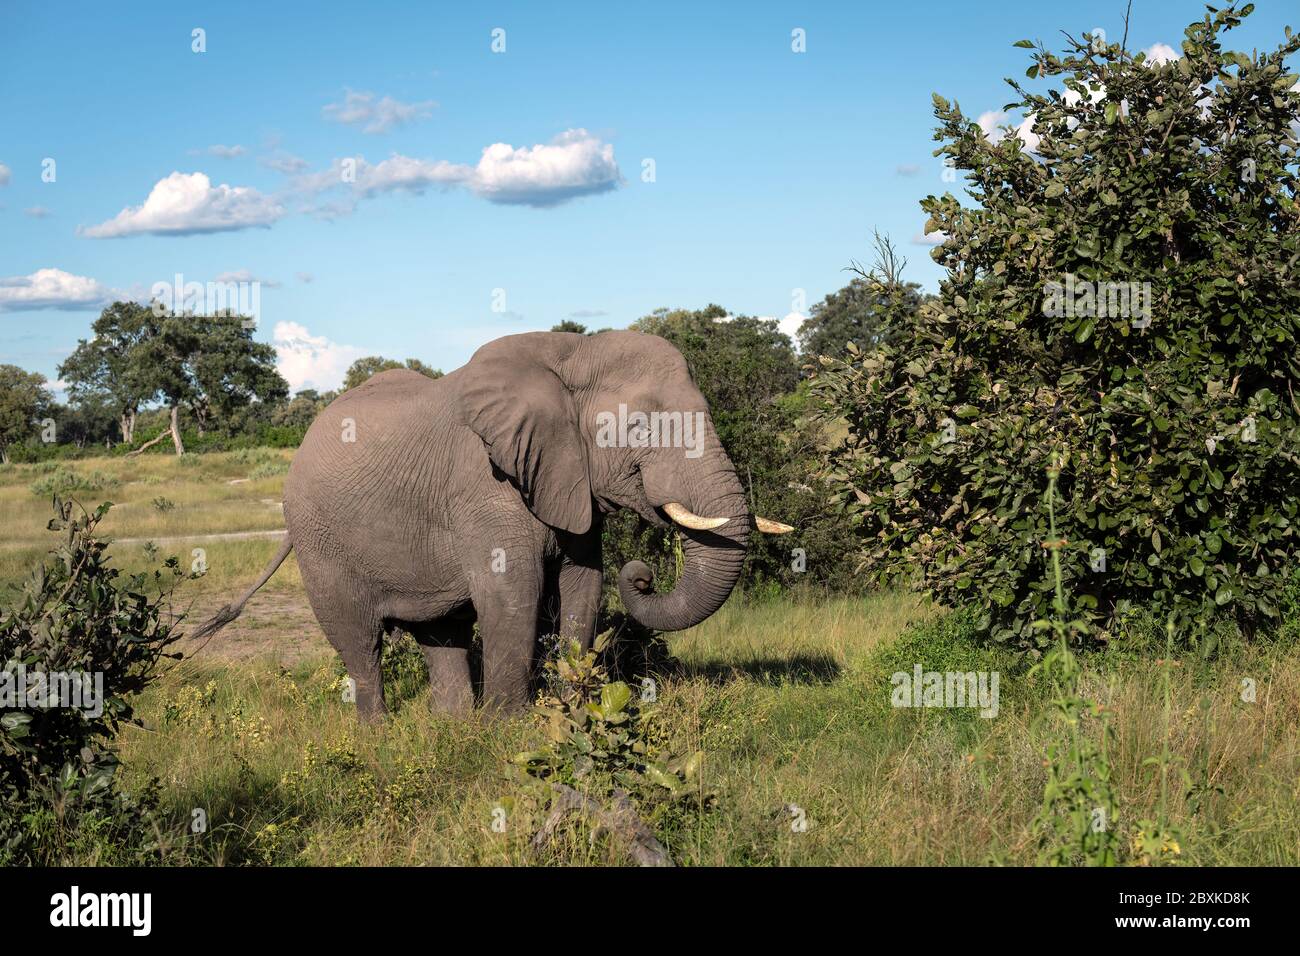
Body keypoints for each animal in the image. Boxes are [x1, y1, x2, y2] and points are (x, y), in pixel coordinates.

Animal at [194, 330, 792, 720]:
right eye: (640, 427)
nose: (643, 575)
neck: (571, 353)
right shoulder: (484, 484)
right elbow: (513, 592)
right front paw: (512, 729)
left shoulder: (565, 478)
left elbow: (583, 585)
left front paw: (571, 712)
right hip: (319, 539)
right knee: (359, 641)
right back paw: (379, 735)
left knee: (443, 631)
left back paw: (453, 728)